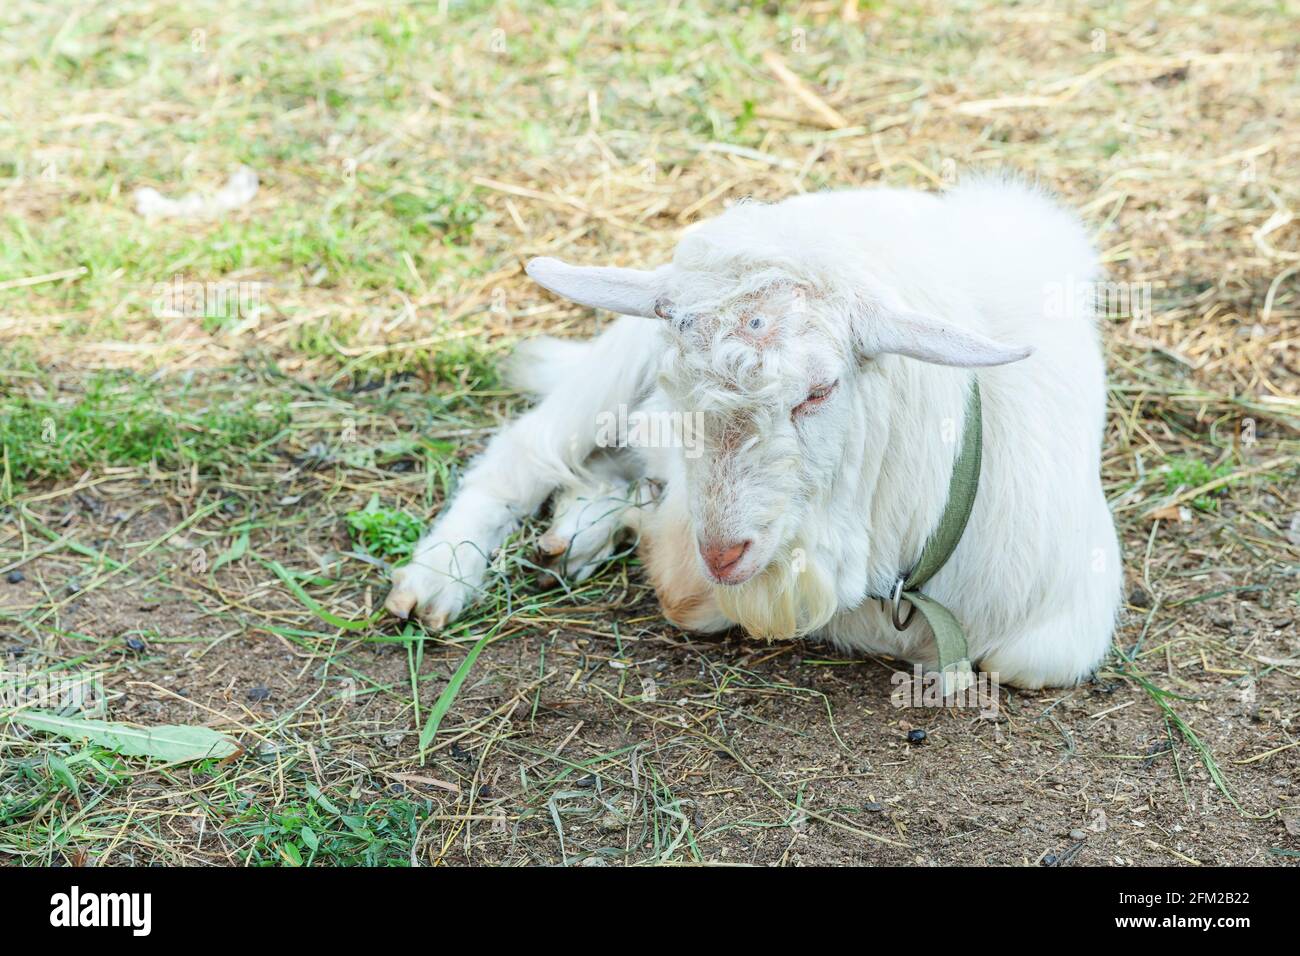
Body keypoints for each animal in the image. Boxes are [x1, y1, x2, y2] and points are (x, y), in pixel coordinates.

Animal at [385, 175, 1122, 689]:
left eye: (820, 391)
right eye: (677, 384)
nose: (722, 553)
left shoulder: (1056, 634)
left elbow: (1024, 662)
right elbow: (683, 595)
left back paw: (578, 530)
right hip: (616, 354)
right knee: (526, 451)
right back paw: (436, 582)